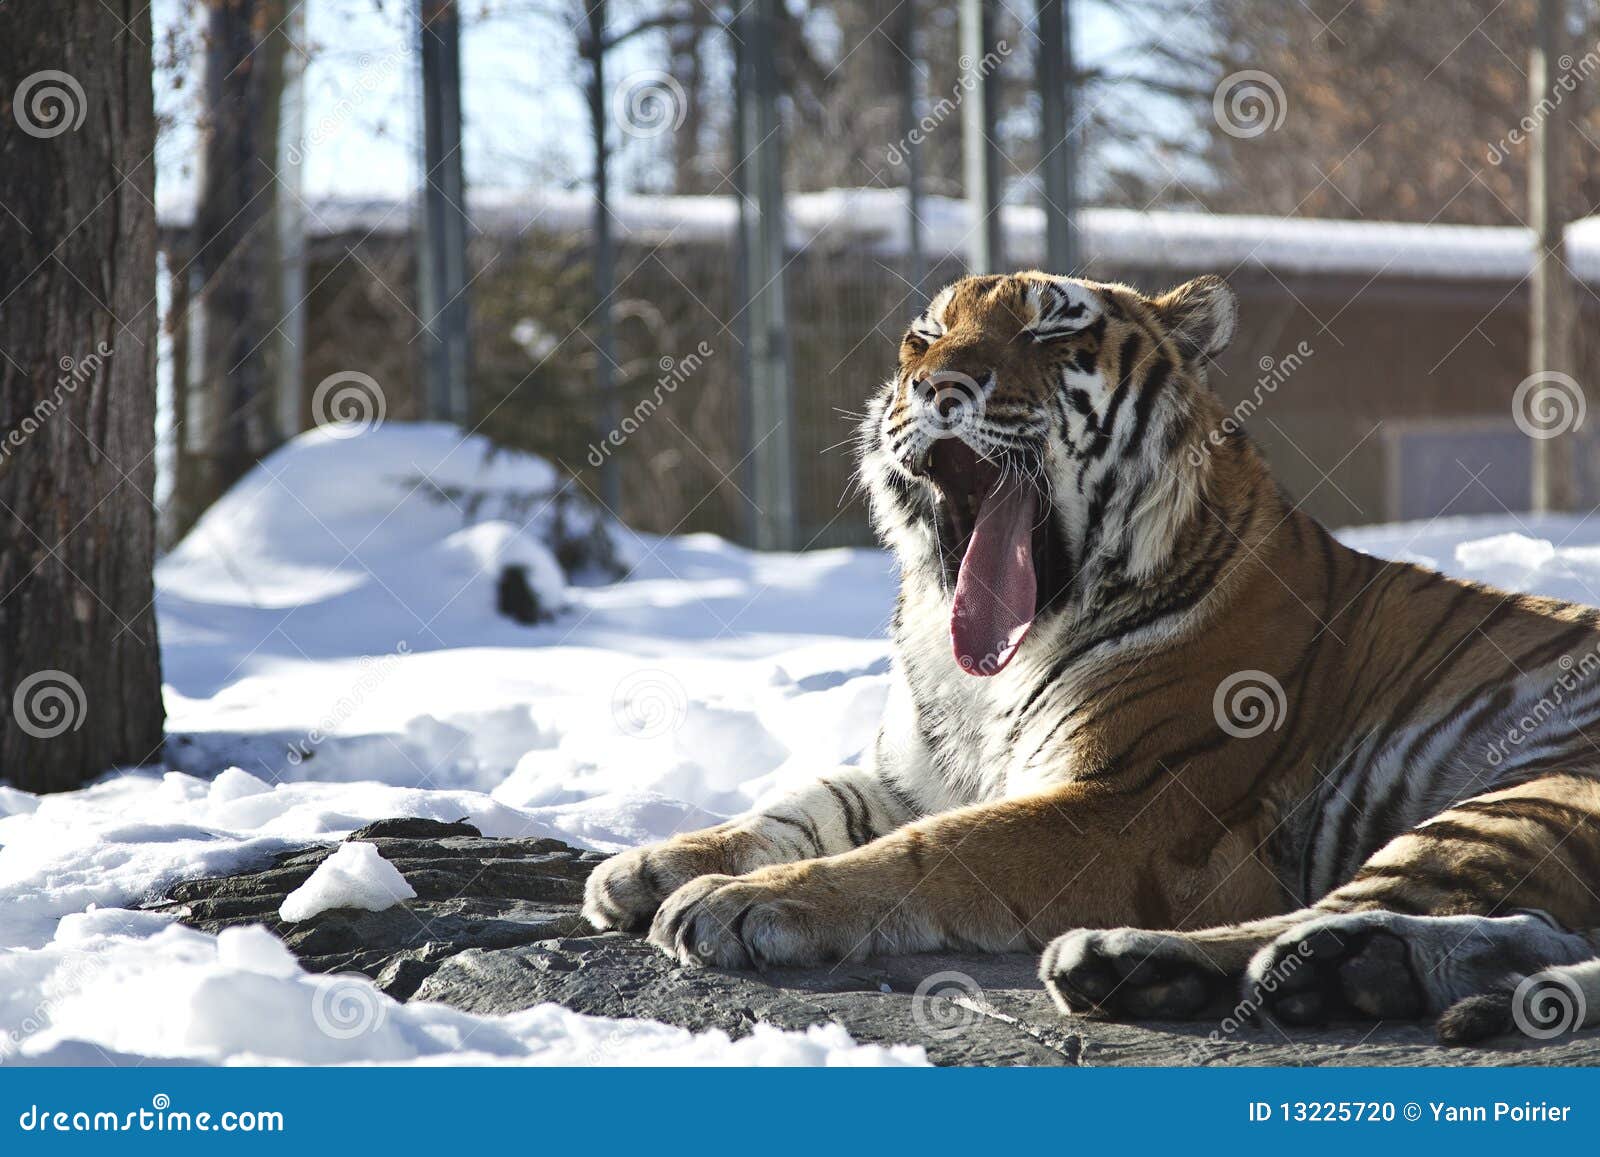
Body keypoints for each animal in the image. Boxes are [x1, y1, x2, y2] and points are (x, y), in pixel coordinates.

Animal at [583, 270, 1600, 1044]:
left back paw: (1155, 960)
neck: (979, 676)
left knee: (1347, 910)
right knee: (1529, 926)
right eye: (924, 335)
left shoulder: (1134, 802)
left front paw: (738, 902)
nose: (939, 384)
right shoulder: (918, 772)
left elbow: (933, 851)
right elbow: (801, 804)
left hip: (1533, 788)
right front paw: (647, 866)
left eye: (1050, 328)